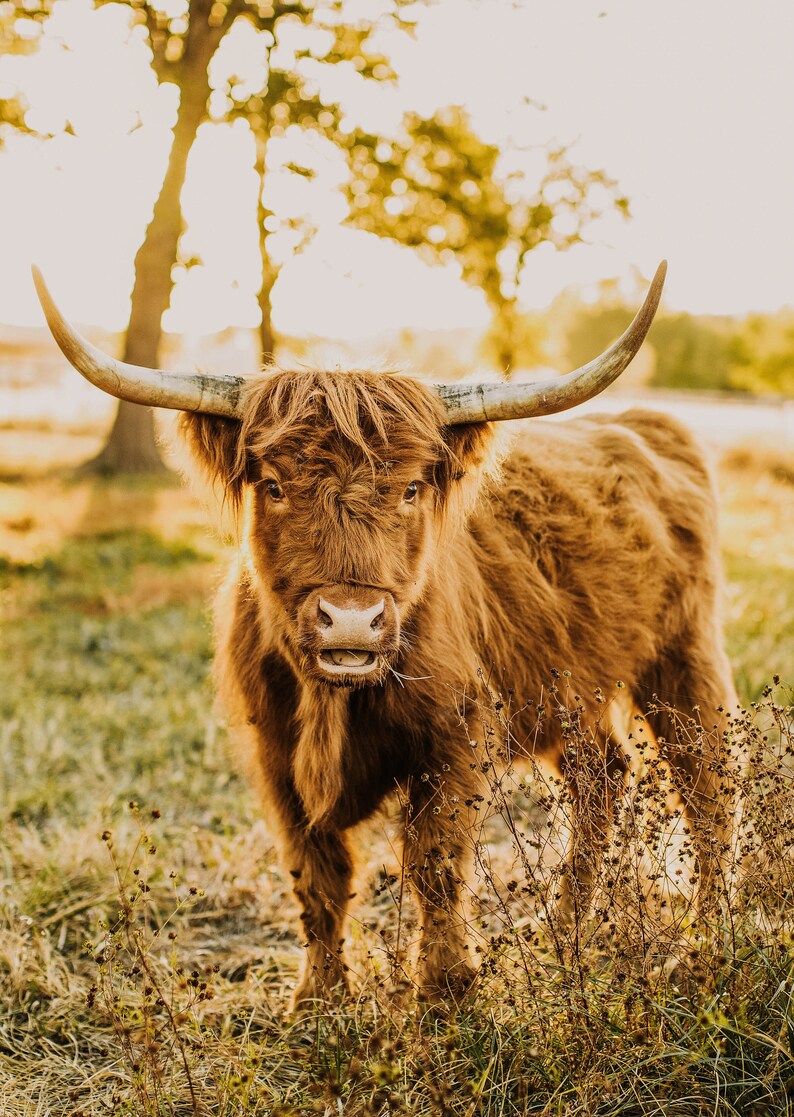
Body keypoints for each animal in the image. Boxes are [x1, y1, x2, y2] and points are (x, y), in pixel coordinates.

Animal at [33, 261, 738, 1007]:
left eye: (409, 489)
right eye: (274, 485)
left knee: (707, 785)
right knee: (602, 775)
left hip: (684, 657)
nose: (350, 619)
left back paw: (700, 946)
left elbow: (432, 862)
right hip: (568, 689)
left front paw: (448, 986)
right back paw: (565, 930)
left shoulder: (457, 733)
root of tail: (642, 422)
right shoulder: (275, 753)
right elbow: (317, 875)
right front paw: (318, 998)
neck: (333, 703)